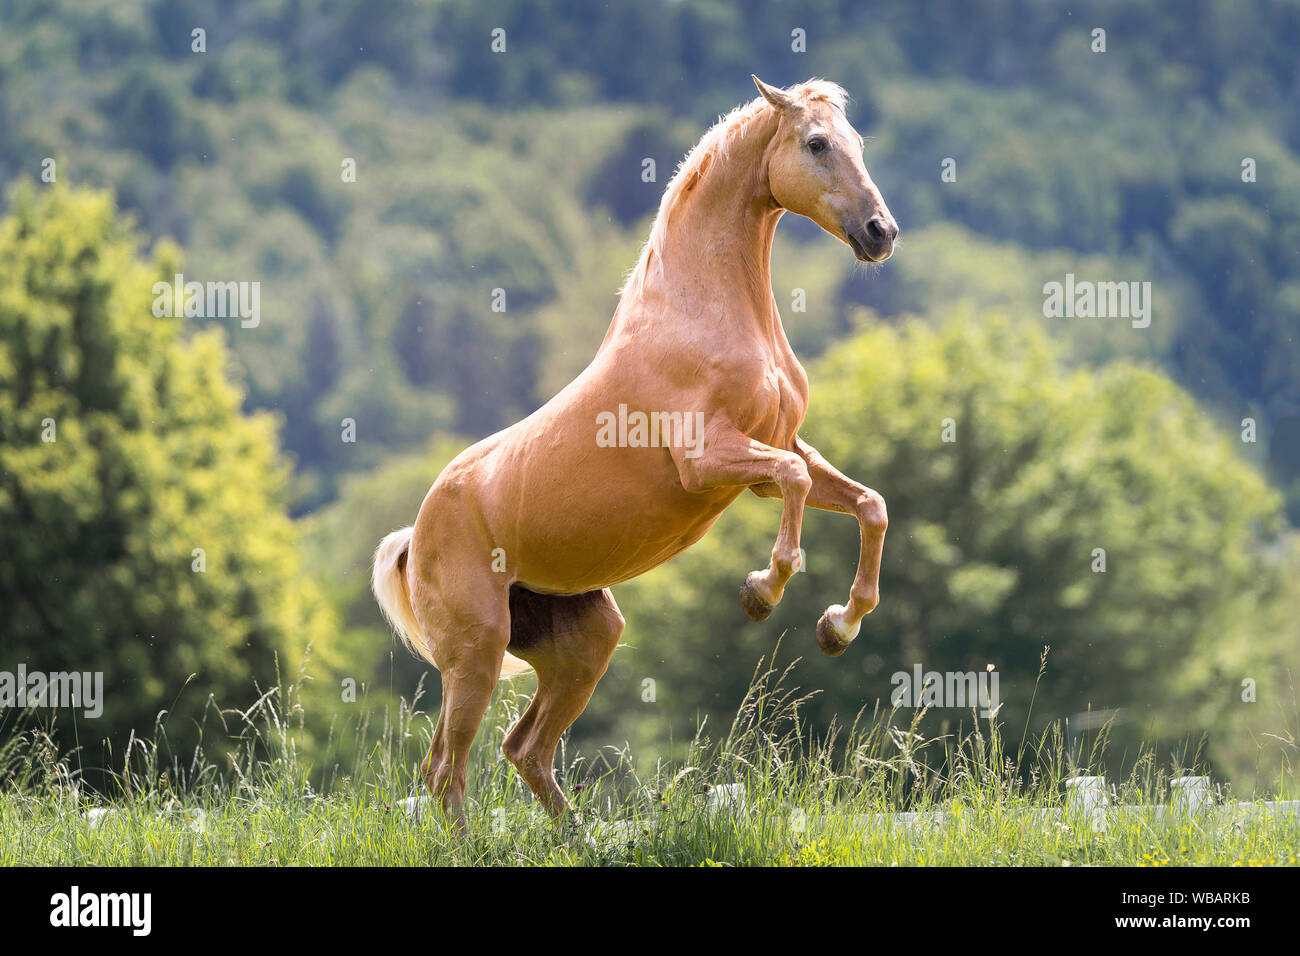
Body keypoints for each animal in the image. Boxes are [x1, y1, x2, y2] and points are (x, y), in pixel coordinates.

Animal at [372, 76, 898, 827]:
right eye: (816, 143)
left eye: (856, 141)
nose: (881, 233)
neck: (705, 312)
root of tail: (415, 536)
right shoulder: (711, 462)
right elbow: (798, 483)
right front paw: (761, 593)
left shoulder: (766, 461)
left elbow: (868, 504)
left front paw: (837, 627)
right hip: (475, 654)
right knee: (449, 769)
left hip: (584, 642)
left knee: (523, 750)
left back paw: (577, 838)